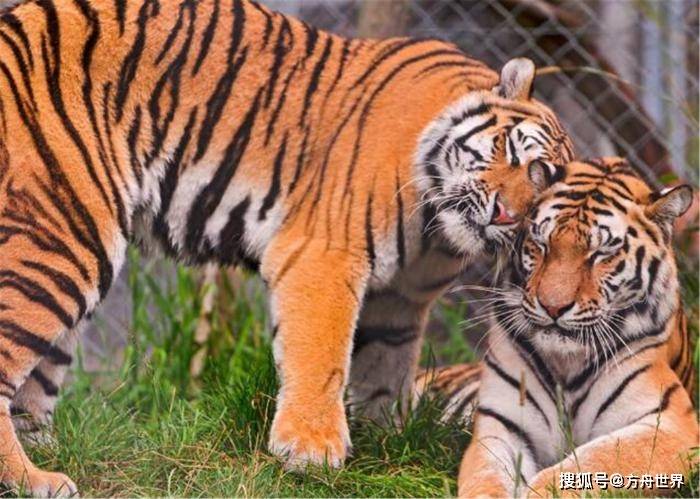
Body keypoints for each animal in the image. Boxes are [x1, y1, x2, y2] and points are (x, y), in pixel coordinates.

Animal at [0, 0, 574, 494]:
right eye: (514, 154)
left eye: (539, 197)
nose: (505, 214)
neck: (435, 235)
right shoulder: (324, 254)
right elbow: (322, 355)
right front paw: (311, 451)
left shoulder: (400, 302)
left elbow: (384, 370)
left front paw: (388, 444)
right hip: (61, 235)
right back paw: (34, 479)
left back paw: (48, 459)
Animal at [421, 158, 697, 497]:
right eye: (541, 245)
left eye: (600, 254)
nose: (552, 307)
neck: (567, 363)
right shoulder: (501, 424)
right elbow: (486, 479)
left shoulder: (669, 424)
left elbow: (585, 464)